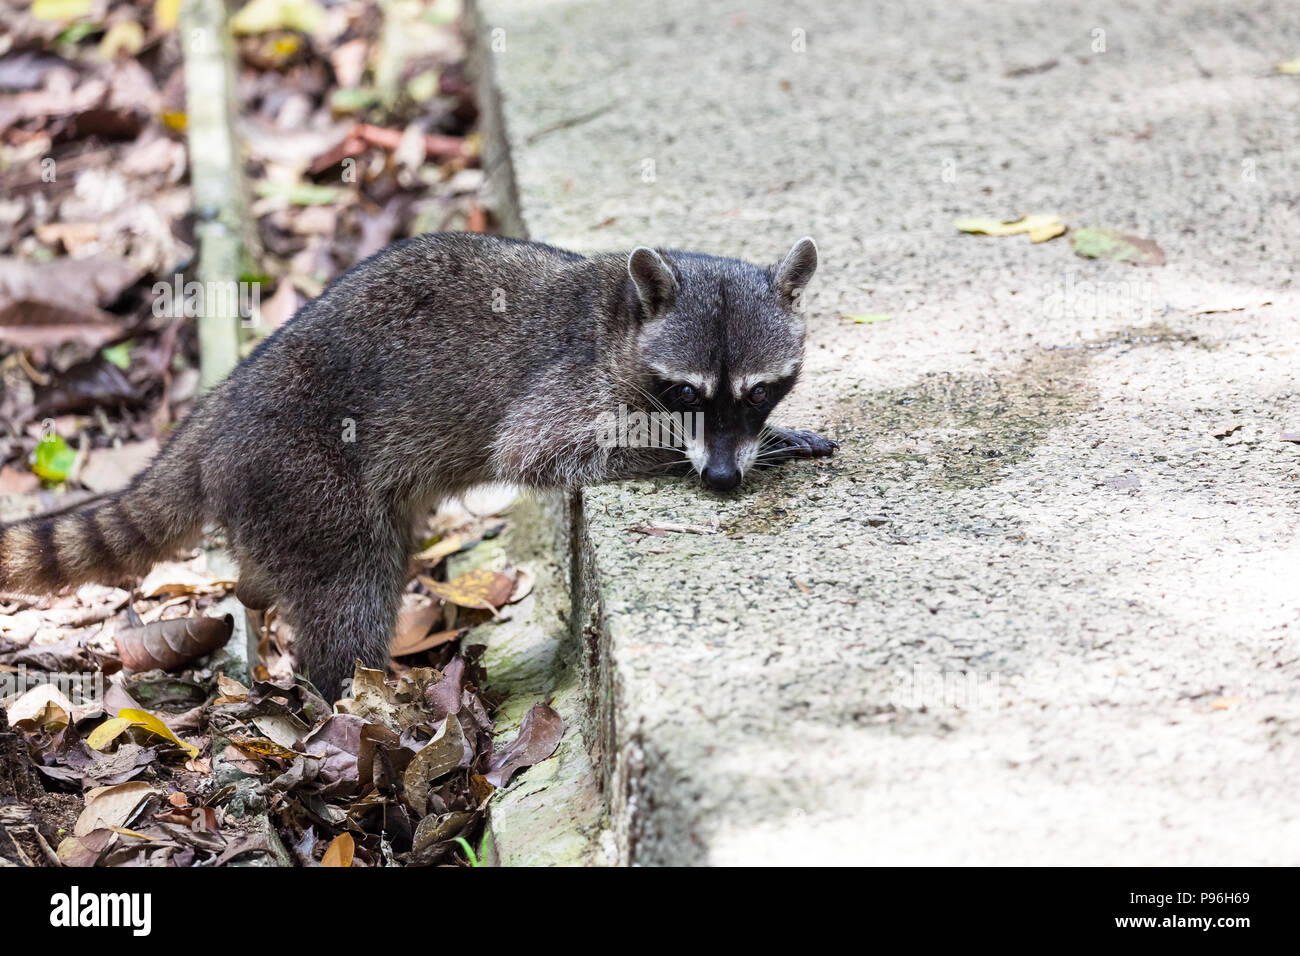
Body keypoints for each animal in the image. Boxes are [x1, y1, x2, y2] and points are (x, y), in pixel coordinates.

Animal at [0, 233, 835, 700]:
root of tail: (220, 406)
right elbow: (536, 449)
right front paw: (687, 450)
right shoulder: (572, 382)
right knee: (351, 586)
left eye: (759, 390)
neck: (626, 318)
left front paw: (769, 438)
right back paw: (351, 693)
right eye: (685, 393)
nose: (722, 478)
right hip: (301, 474)